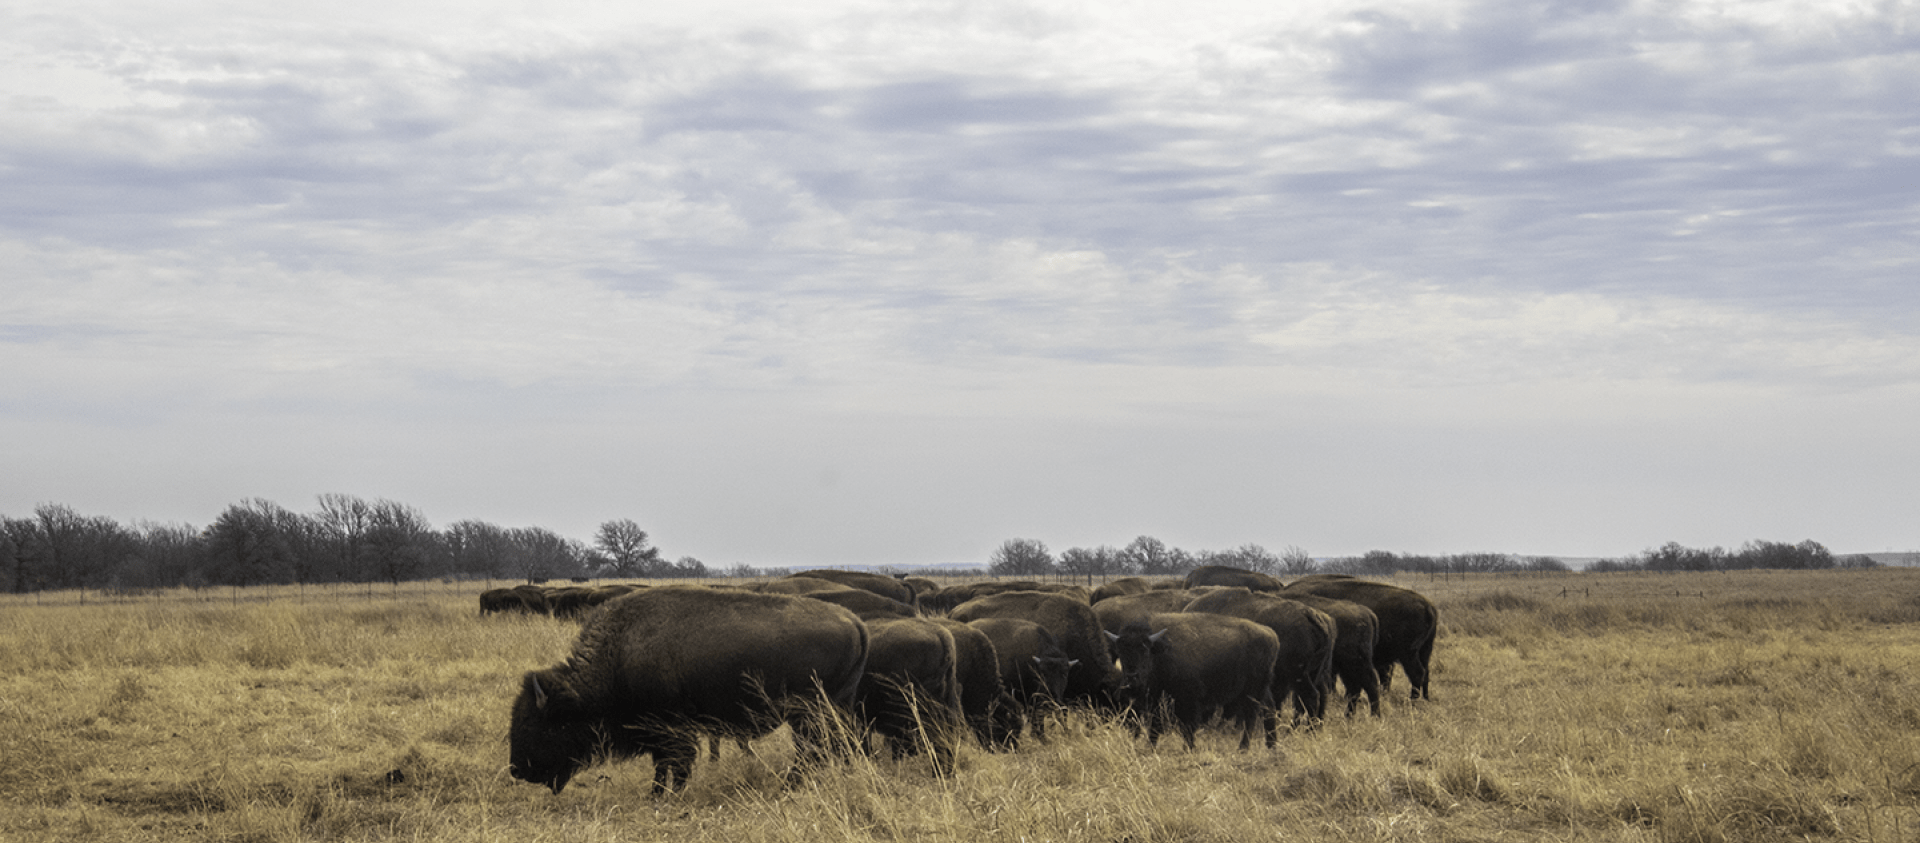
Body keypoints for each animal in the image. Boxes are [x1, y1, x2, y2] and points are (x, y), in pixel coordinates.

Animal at [507, 586, 869, 794]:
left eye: (536, 724)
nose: (517, 770)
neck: (618, 656)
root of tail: (854, 621)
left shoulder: (671, 729)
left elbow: (677, 764)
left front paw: (669, 796)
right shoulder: (660, 733)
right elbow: (663, 765)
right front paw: (657, 795)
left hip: (808, 714)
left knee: (813, 751)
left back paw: (787, 787)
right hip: (833, 709)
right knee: (836, 747)